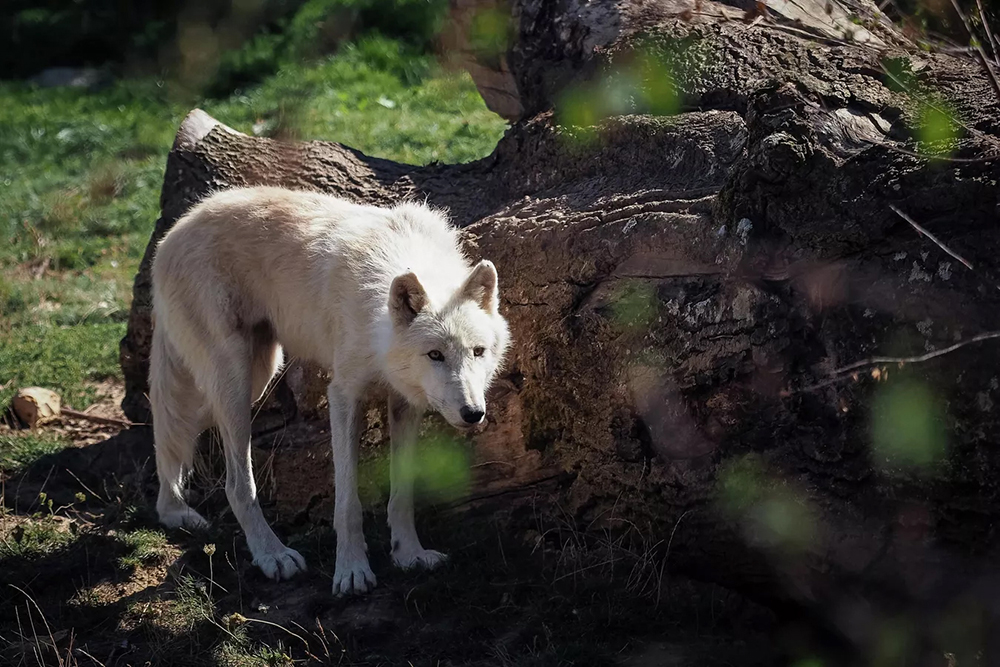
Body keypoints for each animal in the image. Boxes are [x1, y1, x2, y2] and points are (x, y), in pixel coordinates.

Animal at [149, 186, 510, 594]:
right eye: (435, 355)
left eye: (478, 352)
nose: (473, 414)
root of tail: (174, 231)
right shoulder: (343, 396)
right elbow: (348, 502)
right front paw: (352, 571)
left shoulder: (405, 402)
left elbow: (402, 492)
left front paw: (409, 554)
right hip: (241, 382)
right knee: (235, 484)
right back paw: (273, 555)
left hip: (251, 378)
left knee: (173, 432)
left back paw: (173, 512)